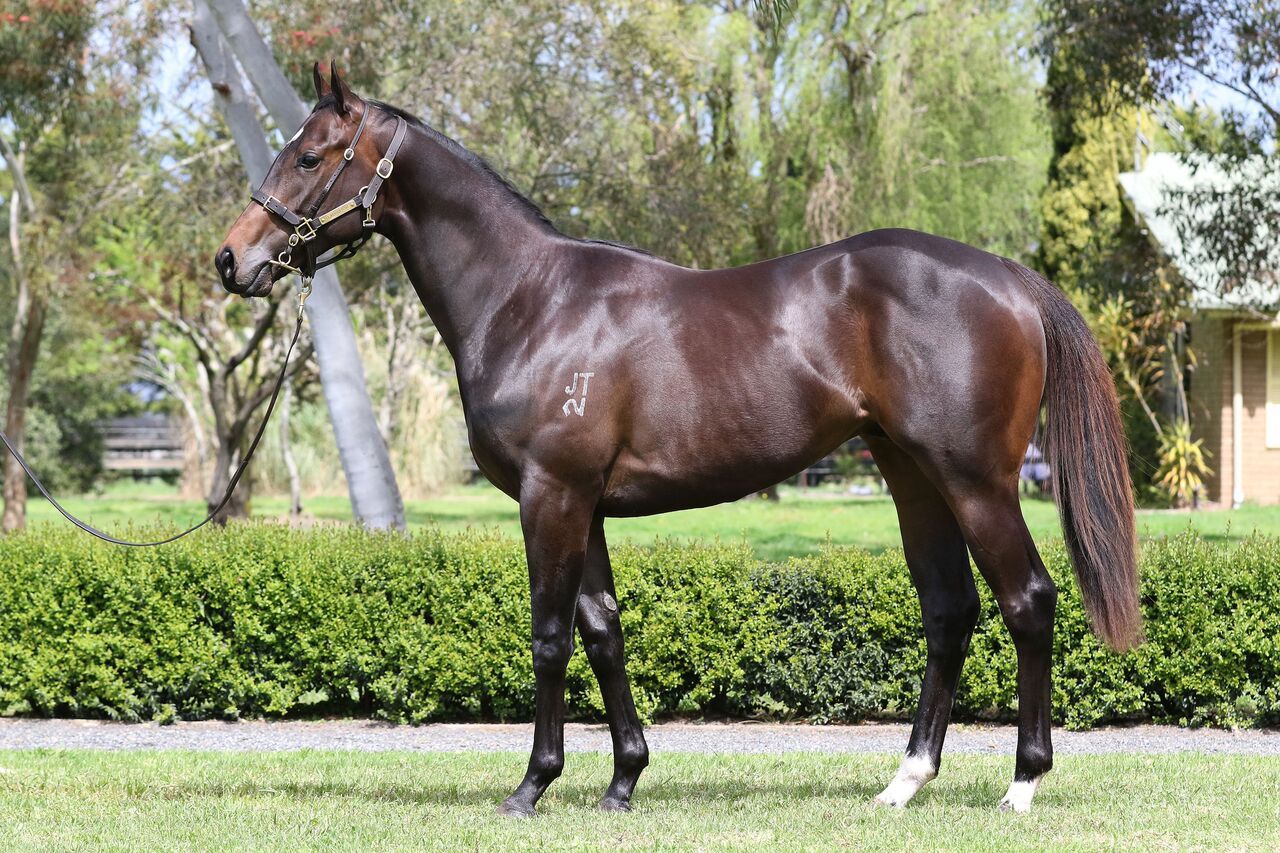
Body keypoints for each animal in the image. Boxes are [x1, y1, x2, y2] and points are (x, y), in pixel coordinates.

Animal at [216, 63, 1140, 816]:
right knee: (949, 611)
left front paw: (532, 785)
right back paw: (905, 780)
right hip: (912, 475)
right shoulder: (583, 503)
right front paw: (623, 778)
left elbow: (550, 636)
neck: (530, 298)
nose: (232, 260)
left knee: (1029, 601)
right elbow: (602, 630)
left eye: (309, 157)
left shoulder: (551, 495)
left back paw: (1021, 783)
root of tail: (1010, 277)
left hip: (977, 481)